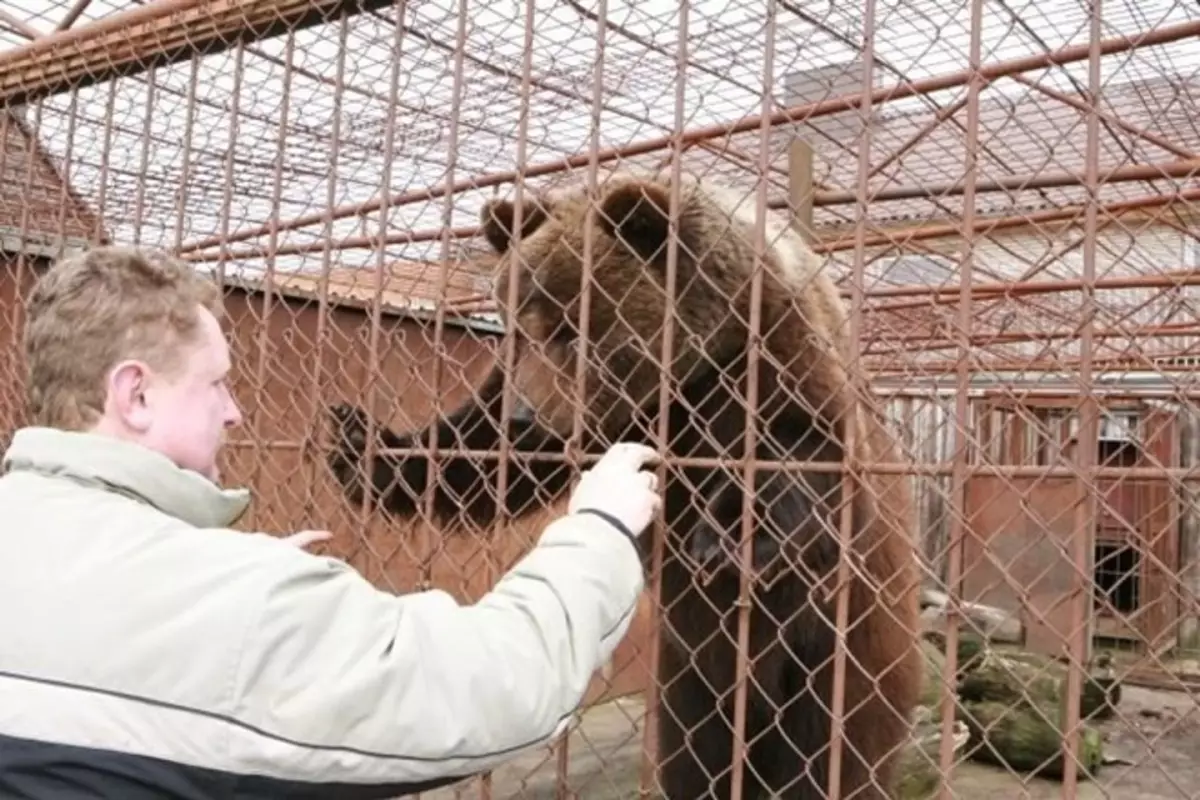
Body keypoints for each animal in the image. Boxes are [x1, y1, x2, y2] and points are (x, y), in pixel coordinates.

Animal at [324, 170, 921, 800]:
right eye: (520, 329)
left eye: (575, 331)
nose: (527, 412)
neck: (682, 384)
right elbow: (477, 459)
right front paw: (360, 442)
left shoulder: (775, 357)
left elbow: (804, 452)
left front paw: (729, 536)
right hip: (690, 683)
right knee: (693, 757)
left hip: (838, 663)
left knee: (825, 759)